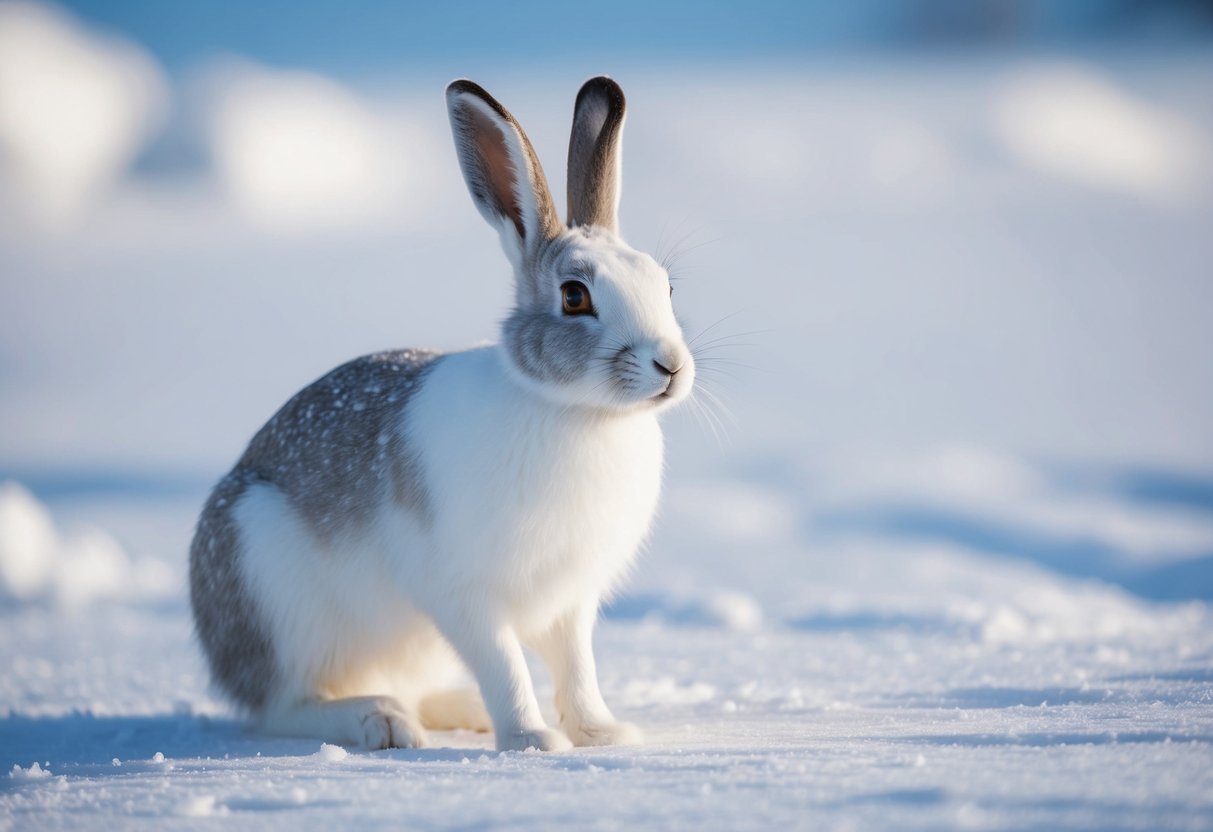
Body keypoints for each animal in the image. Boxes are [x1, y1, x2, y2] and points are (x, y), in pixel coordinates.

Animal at [189, 76, 695, 753]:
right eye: (574, 296)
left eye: (665, 285)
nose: (671, 366)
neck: (570, 410)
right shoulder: (463, 594)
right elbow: (506, 666)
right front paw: (532, 739)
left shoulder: (569, 602)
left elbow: (577, 668)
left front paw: (604, 733)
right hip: (275, 591)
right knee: (283, 706)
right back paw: (379, 721)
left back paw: (459, 711)